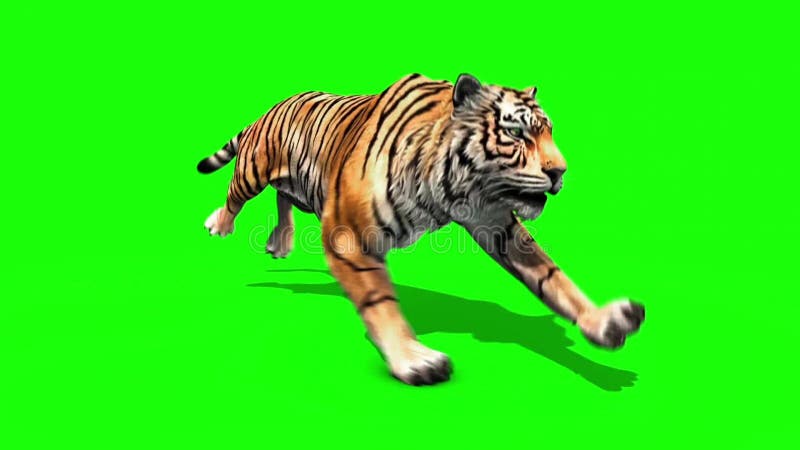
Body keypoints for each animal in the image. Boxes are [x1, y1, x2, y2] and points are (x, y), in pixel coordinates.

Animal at [197, 73, 645, 386]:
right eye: (516, 132)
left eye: (549, 130)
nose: (560, 172)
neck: (454, 186)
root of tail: (275, 104)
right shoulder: (348, 233)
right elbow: (380, 301)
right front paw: (414, 359)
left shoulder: (496, 222)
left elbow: (552, 277)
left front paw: (603, 321)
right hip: (253, 167)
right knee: (236, 194)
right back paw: (219, 225)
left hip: (300, 187)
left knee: (283, 196)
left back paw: (281, 242)